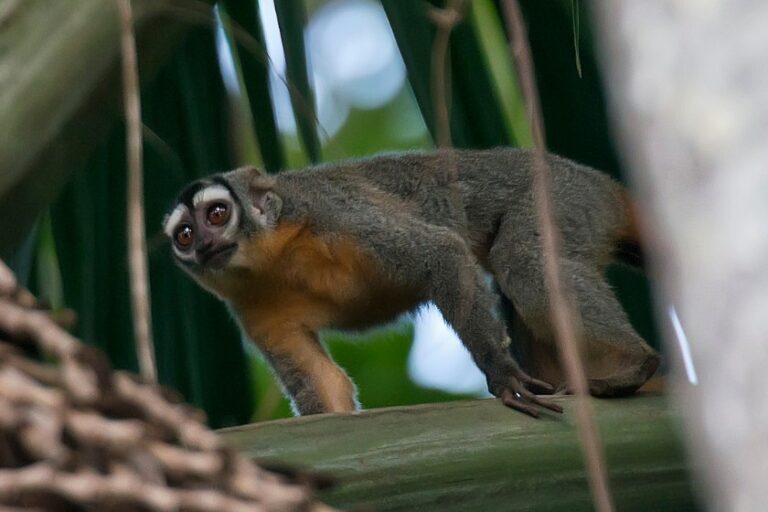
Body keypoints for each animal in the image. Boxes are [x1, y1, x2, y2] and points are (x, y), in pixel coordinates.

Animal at [162, 148, 660, 418]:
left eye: (217, 214)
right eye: (185, 235)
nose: (204, 244)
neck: (273, 256)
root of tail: (600, 180)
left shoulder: (333, 214)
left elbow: (441, 252)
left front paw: (502, 377)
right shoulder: (250, 309)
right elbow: (325, 385)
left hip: (565, 196)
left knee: (522, 261)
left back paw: (637, 364)